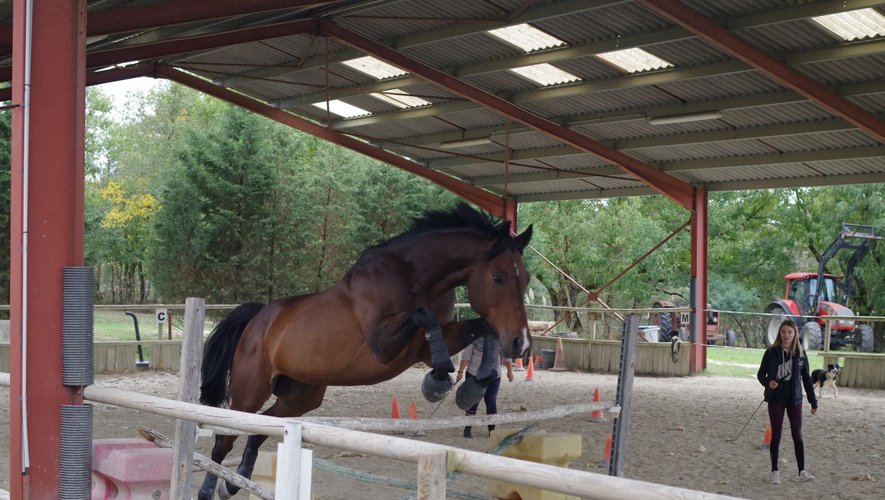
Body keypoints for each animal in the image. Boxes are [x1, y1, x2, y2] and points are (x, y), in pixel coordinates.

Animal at [199, 203, 532, 500]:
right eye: (497, 277)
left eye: (526, 279)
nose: (521, 343)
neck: (416, 277)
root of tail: (258, 319)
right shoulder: (384, 346)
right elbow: (425, 316)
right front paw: (438, 382)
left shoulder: (429, 345)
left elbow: (484, 326)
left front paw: (474, 385)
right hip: (249, 391)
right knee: (224, 441)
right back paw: (210, 489)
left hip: (300, 397)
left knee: (261, 429)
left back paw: (233, 484)